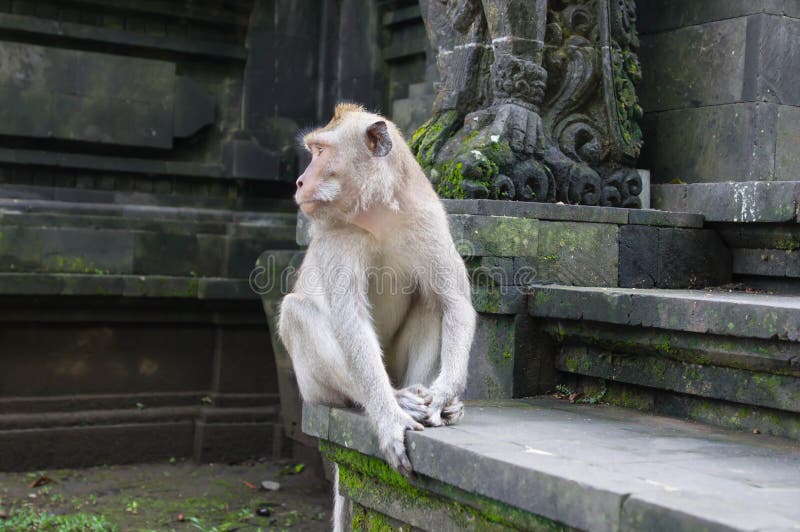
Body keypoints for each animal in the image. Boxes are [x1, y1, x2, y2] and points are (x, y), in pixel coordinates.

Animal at [277, 103, 477, 480]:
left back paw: (425, 396)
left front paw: (444, 395)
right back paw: (397, 398)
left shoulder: (429, 219)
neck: (377, 214)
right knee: (296, 310)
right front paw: (390, 418)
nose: (299, 181)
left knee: (431, 304)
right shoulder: (335, 235)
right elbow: (351, 324)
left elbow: (454, 302)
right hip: (313, 388)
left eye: (320, 151)